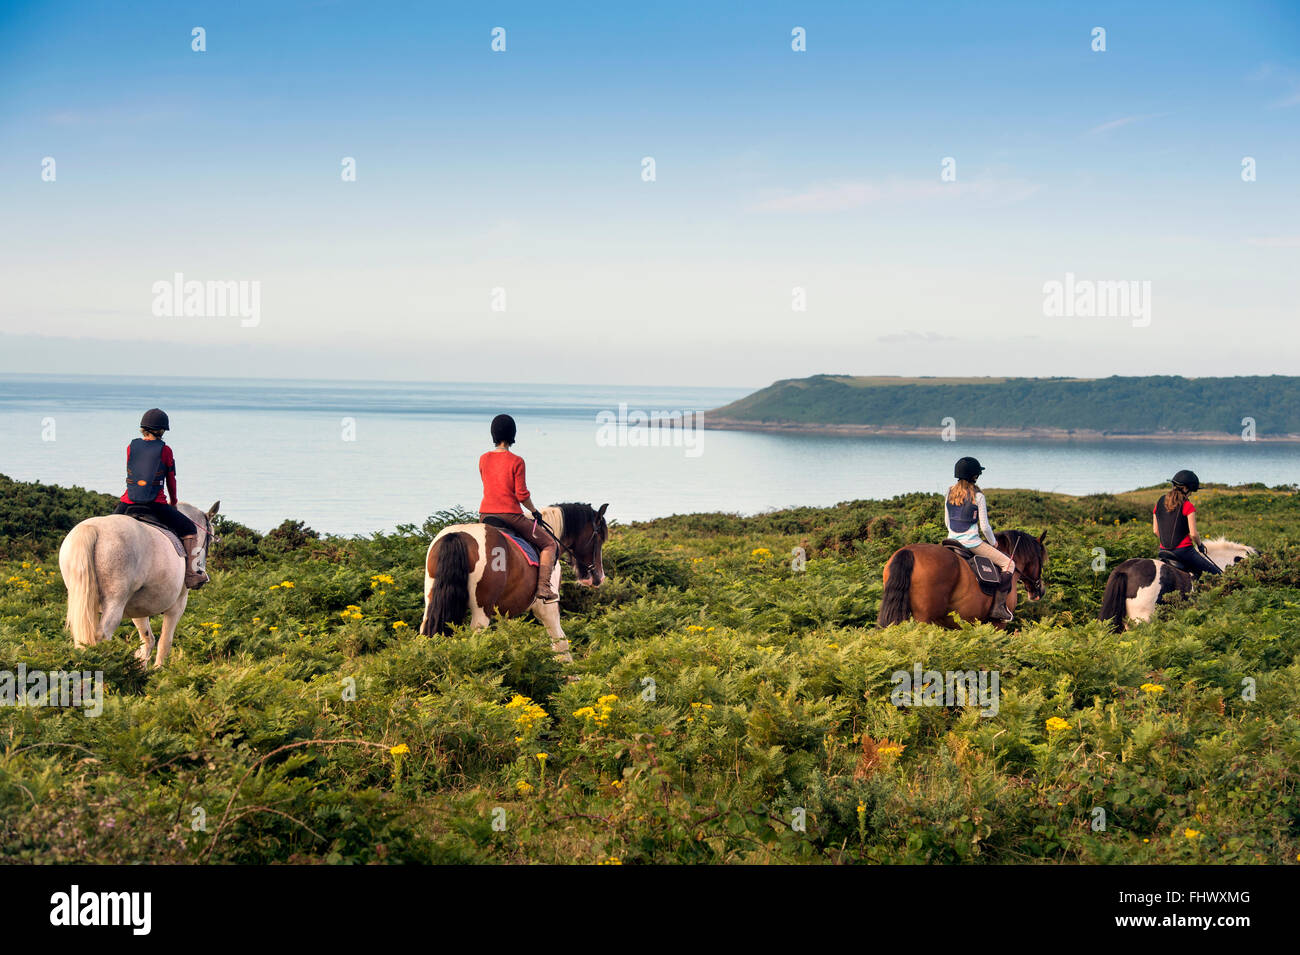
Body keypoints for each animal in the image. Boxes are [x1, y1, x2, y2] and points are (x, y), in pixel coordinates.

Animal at [58, 501, 220, 668]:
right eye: (209, 539)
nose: (201, 573)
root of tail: (92, 529)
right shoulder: (177, 606)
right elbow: (165, 642)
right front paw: (158, 669)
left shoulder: (137, 609)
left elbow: (147, 639)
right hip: (114, 603)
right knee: (102, 636)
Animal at [418, 503, 608, 663]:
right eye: (599, 538)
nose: (599, 577)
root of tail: (457, 535)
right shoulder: (547, 608)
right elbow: (559, 642)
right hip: (481, 610)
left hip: (432, 602)